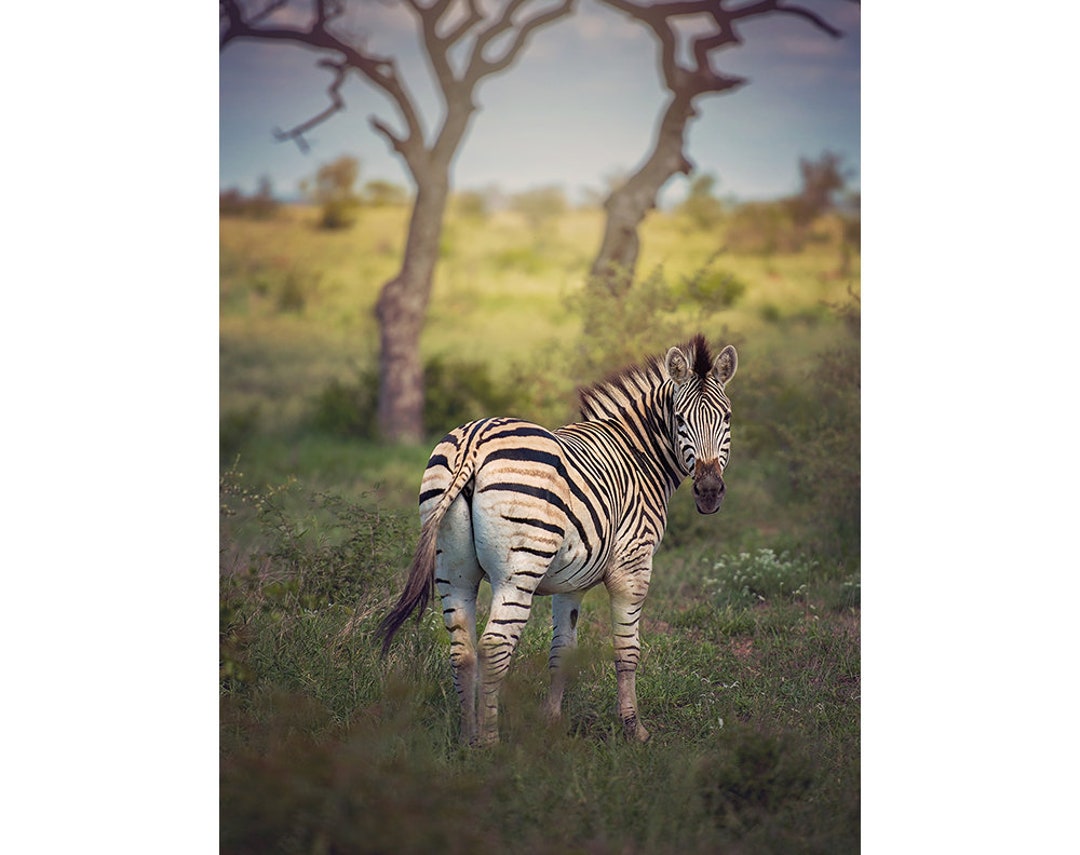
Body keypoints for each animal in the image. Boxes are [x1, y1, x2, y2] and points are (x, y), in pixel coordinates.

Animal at [378, 334, 737, 746]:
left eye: (727, 418)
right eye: (679, 419)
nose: (709, 492)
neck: (638, 456)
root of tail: (474, 440)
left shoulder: (572, 581)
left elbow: (561, 651)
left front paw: (550, 722)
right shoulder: (632, 566)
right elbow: (626, 649)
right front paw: (634, 728)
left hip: (451, 568)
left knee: (462, 651)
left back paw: (468, 738)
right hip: (518, 570)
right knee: (494, 647)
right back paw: (489, 743)